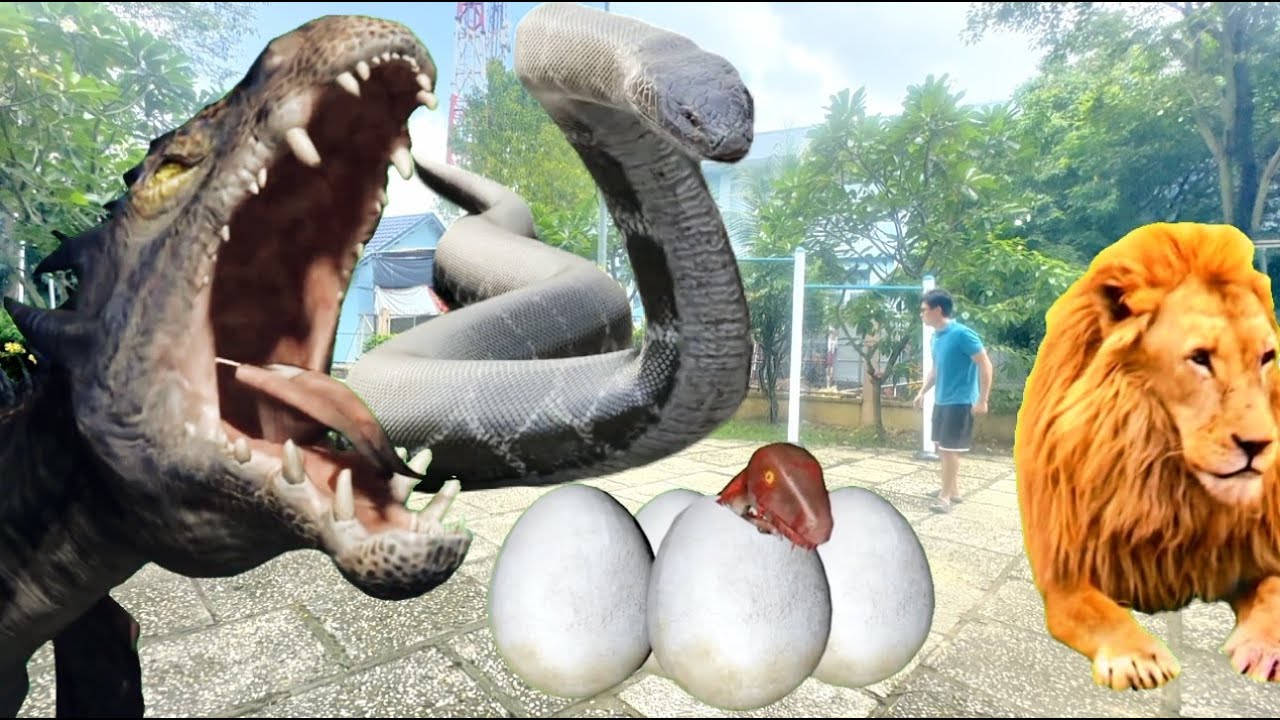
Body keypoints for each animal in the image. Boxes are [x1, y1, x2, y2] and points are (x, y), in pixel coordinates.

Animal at [1015, 221, 1280, 692]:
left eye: (1267, 357)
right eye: (1199, 358)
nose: (1259, 445)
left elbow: (1272, 592)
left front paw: (1263, 647)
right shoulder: (1064, 575)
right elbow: (1099, 612)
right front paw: (1139, 658)